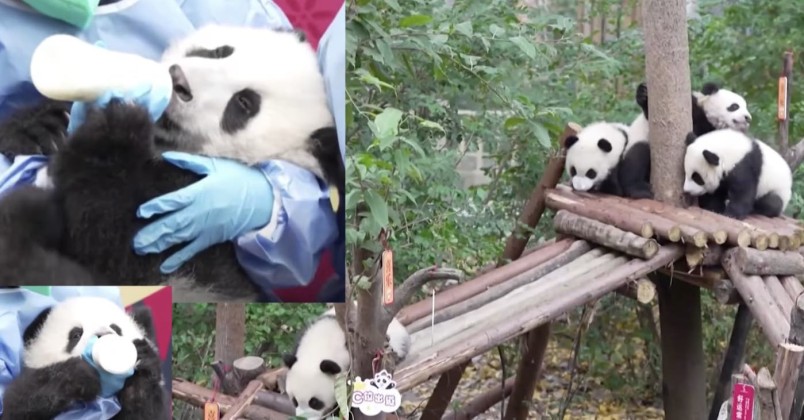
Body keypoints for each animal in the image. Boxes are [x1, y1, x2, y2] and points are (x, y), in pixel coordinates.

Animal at [0, 25, 344, 302]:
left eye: (244, 103)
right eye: (220, 51)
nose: (178, 80)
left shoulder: (179, 235)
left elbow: (114, 242)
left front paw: (115, 132)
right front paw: (42, 128)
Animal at [1, 296, 168, 419]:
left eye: (116, 329)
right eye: (76, 335)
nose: (104, 336)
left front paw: (143, 366)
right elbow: (20, 403)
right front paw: (80, 375)